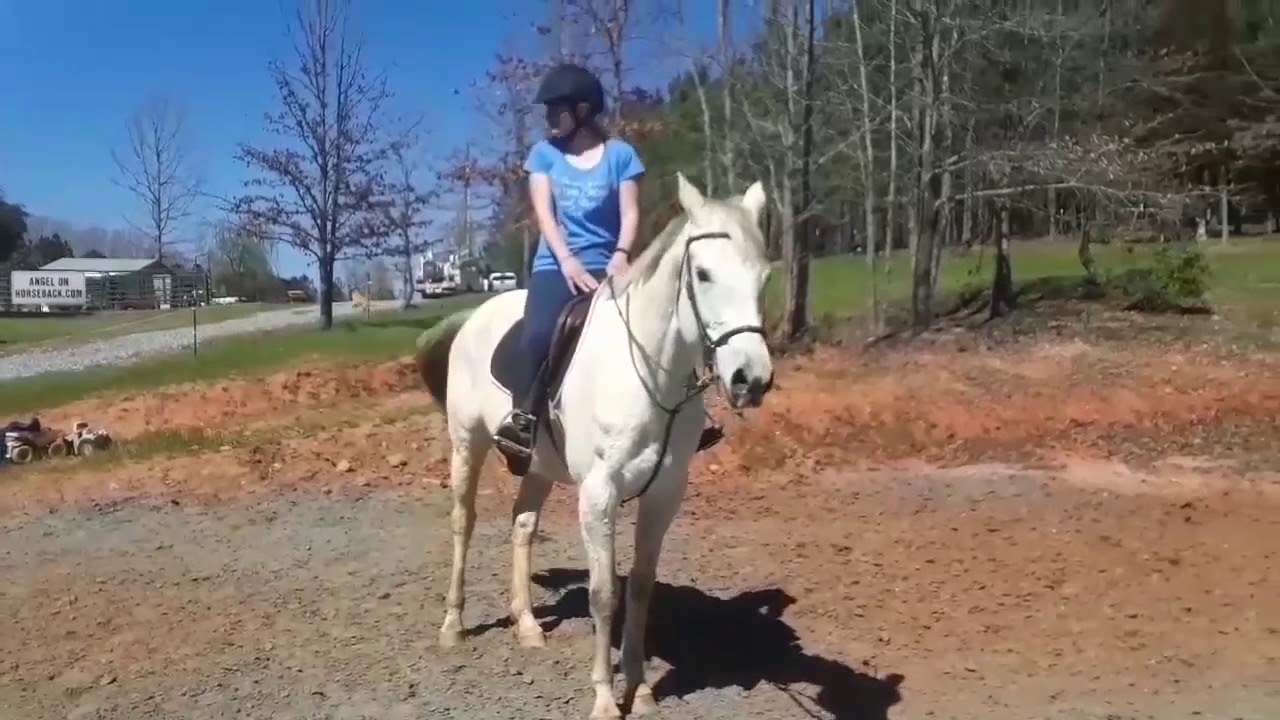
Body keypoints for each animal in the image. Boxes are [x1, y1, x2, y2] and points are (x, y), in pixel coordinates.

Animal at [414, 172, 775, 718]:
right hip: (466, 444)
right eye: (704, 274)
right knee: (463, 522)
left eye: (763, 277)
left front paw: (640, 690)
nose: (751, 379)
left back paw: (526, 625)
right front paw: (605, 698)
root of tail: (475, 314)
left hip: (539, 464)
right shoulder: (598, 494)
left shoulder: (665, 493)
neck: (646, 372)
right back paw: (453, 625)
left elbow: (640, 589)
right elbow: (604, 594)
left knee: (523, 525)